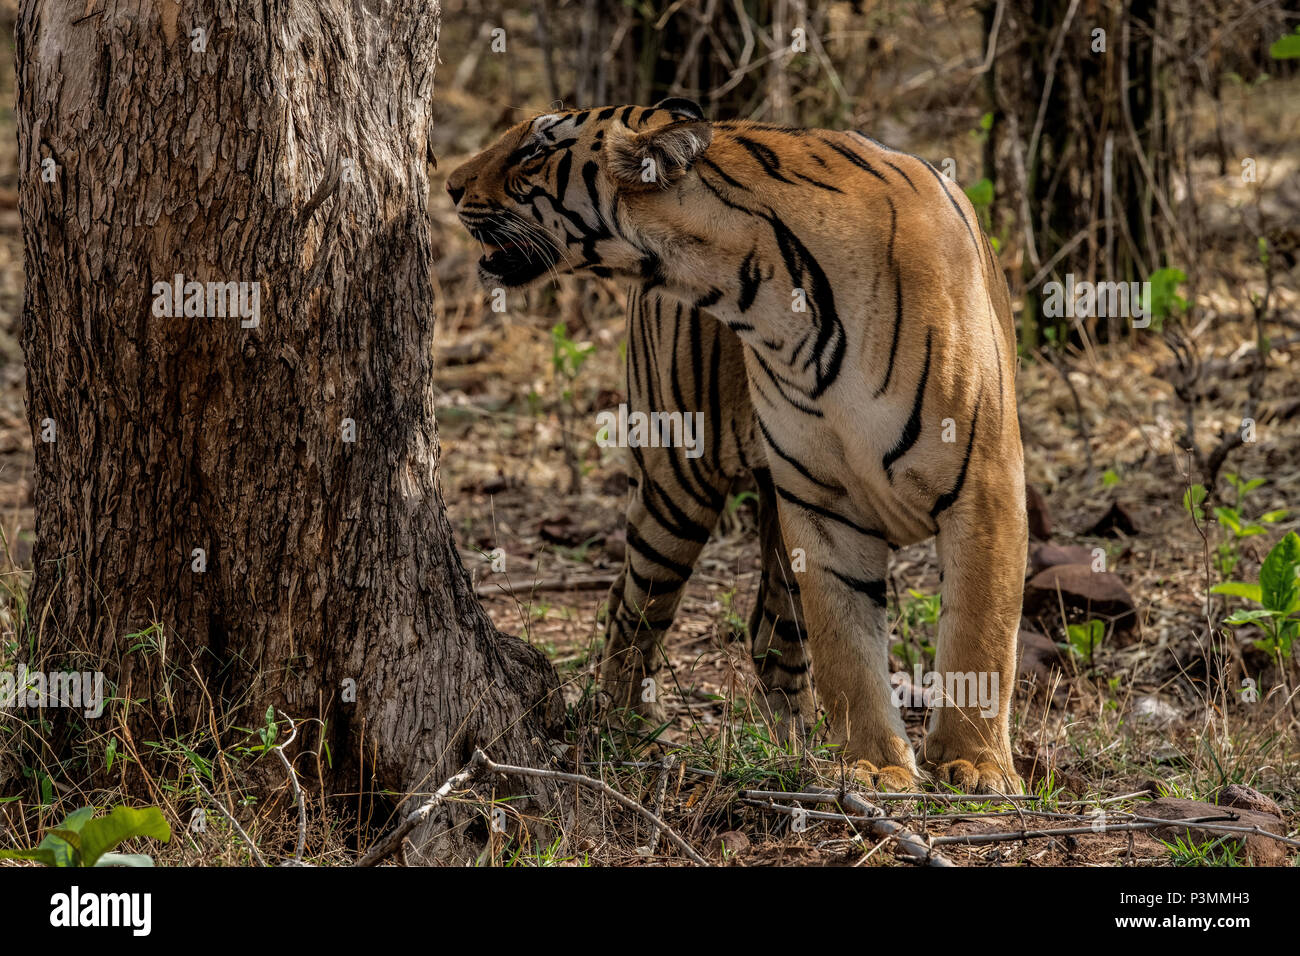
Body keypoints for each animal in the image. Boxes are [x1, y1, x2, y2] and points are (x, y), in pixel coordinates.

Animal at [446, 98, 1027, 792]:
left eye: (536, 150)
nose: (449, 185)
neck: (766, 296)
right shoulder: (825, 505)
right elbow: (848, 650)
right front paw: (877, 767)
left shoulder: (983, 488)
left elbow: (980, 636)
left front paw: (973, 766)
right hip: (678, 483)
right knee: (635, 610)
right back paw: (625, 732)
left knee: (761, 632)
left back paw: (789, 743)